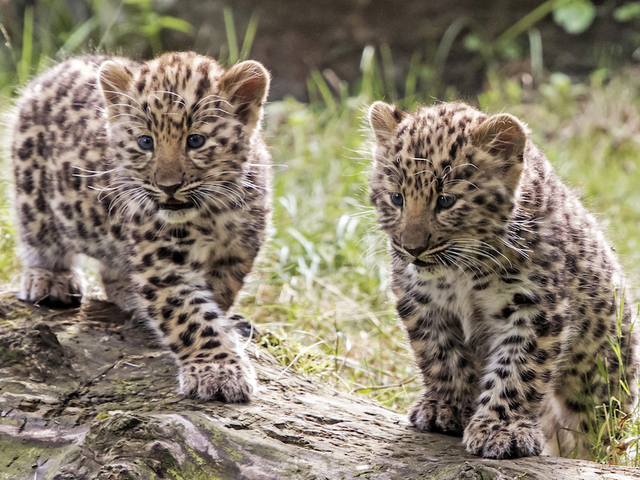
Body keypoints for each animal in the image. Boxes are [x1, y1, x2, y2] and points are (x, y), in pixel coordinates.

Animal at [7, 51, 272, 403]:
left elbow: (215, 299)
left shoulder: (237, 253)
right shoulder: (161, 267)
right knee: (39, 239)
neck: (212, 212)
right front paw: (217, 369)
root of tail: (58, 68)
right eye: (145, 142)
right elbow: (191, 318)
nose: (168, 186)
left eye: (196, 141)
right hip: (33, 193)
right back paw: (50, 279)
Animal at [367, 100, 638, 459]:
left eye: (445, 201)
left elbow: (517, 371)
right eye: (396, 198)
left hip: (603, 383)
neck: (461, 272)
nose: (412, 249)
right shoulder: (420, 300)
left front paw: (501, 429)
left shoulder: (535, 309)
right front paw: (446, 407)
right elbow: (440, 356)